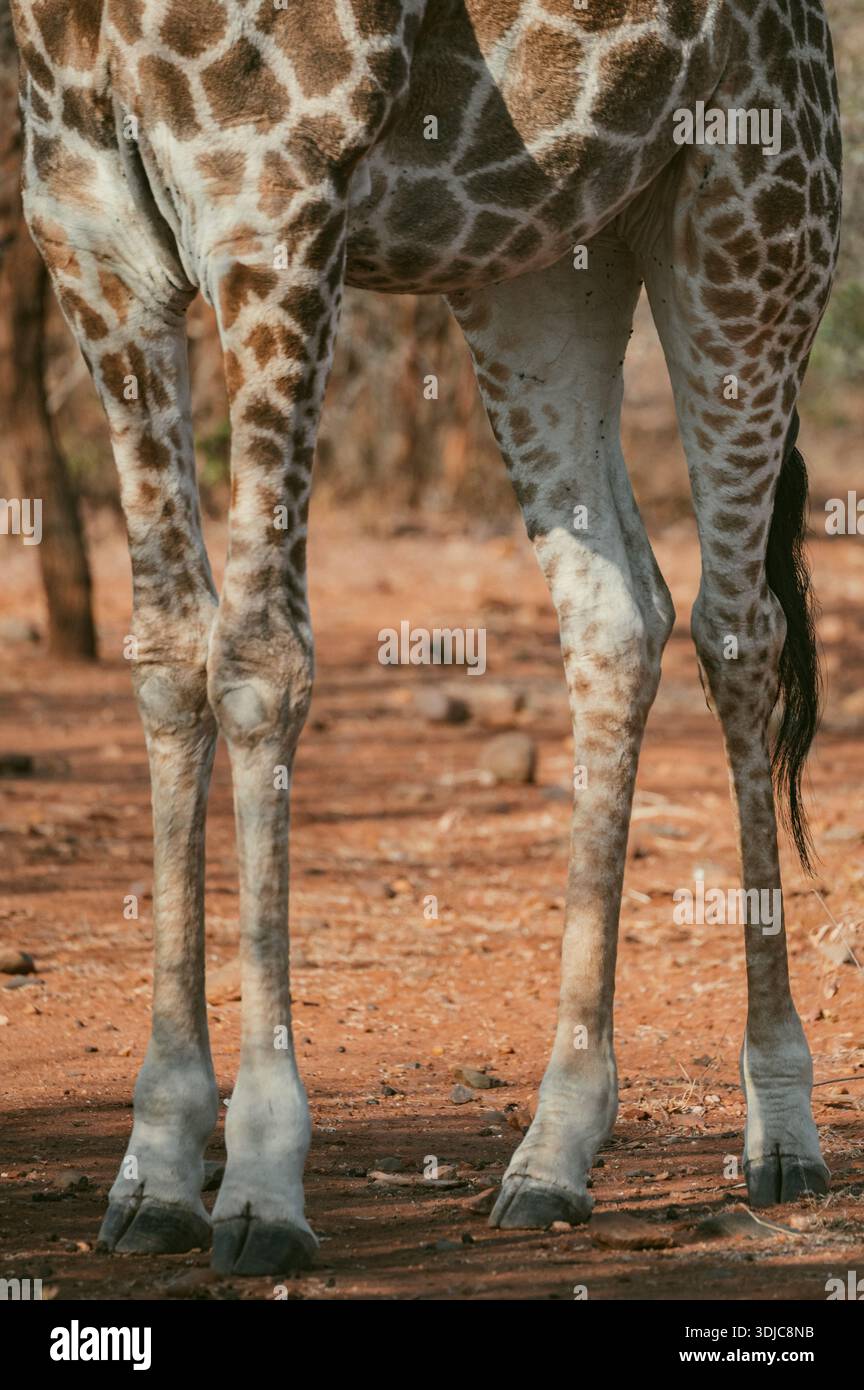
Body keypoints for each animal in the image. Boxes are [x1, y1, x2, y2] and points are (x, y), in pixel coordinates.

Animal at [9, 0, 842, 1275]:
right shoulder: (85, 226)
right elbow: (166, 654)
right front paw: (154, 1167)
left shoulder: (278, 198)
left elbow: (259, 657)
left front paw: (261, 1182)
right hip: (544, 262)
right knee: (617, 615)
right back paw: (552, 1151)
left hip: (755, 214)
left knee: (739, 628)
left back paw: (782, 1133)